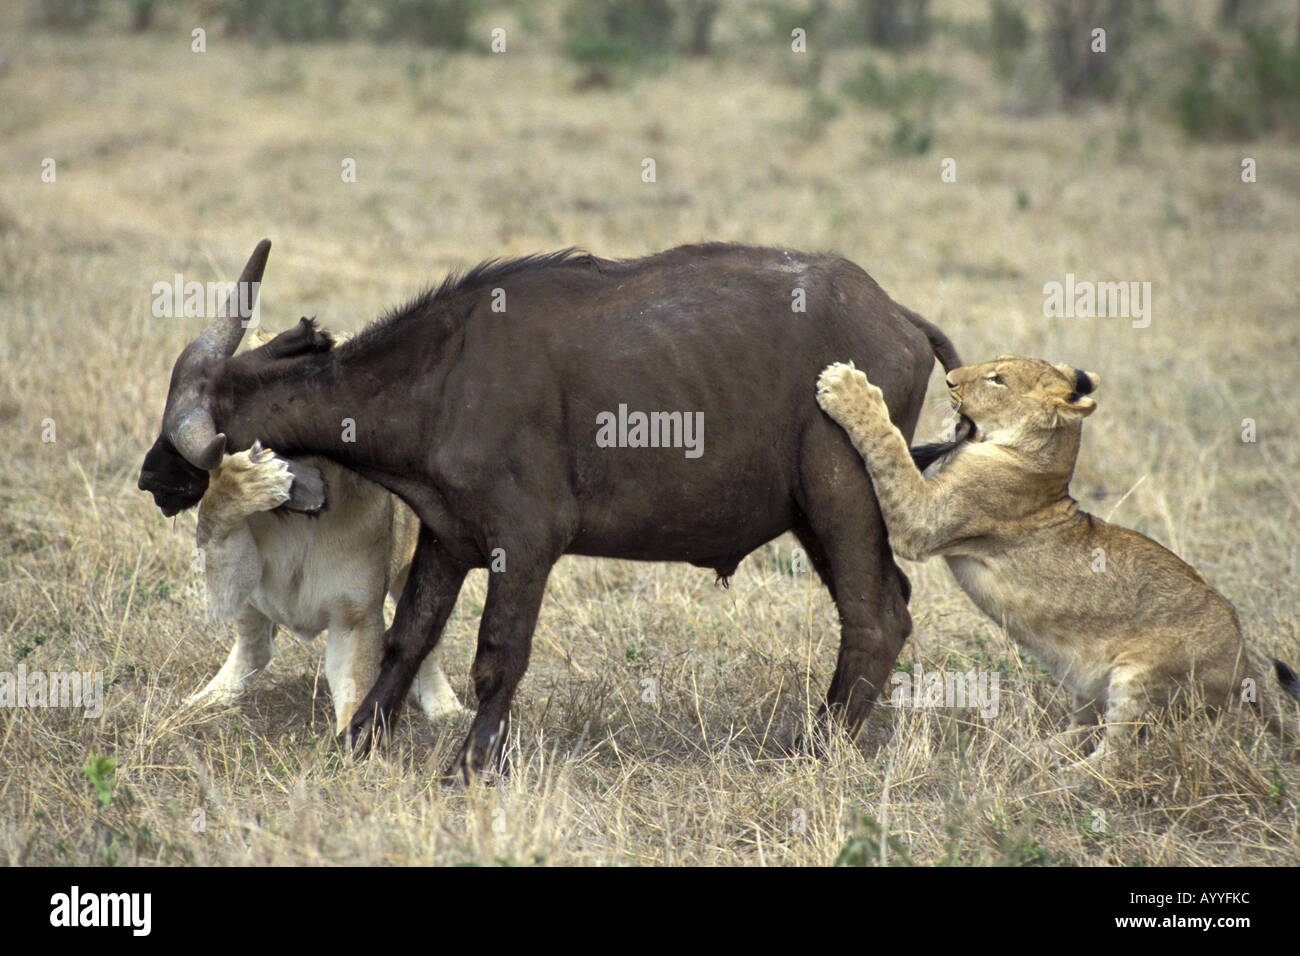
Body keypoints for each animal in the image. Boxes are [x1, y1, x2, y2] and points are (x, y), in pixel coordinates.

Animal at [815, 355, 1300, 767]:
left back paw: (1055, 777)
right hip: (1091, 683)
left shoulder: (924, 520)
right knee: (1087, 731)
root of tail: (1244, 657)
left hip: (1142, 675)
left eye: (997, 379)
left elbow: (889, 448)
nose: (950, 380)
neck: (1043, 464)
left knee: (1117, 758)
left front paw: (847, 387)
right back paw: (1029, 752)